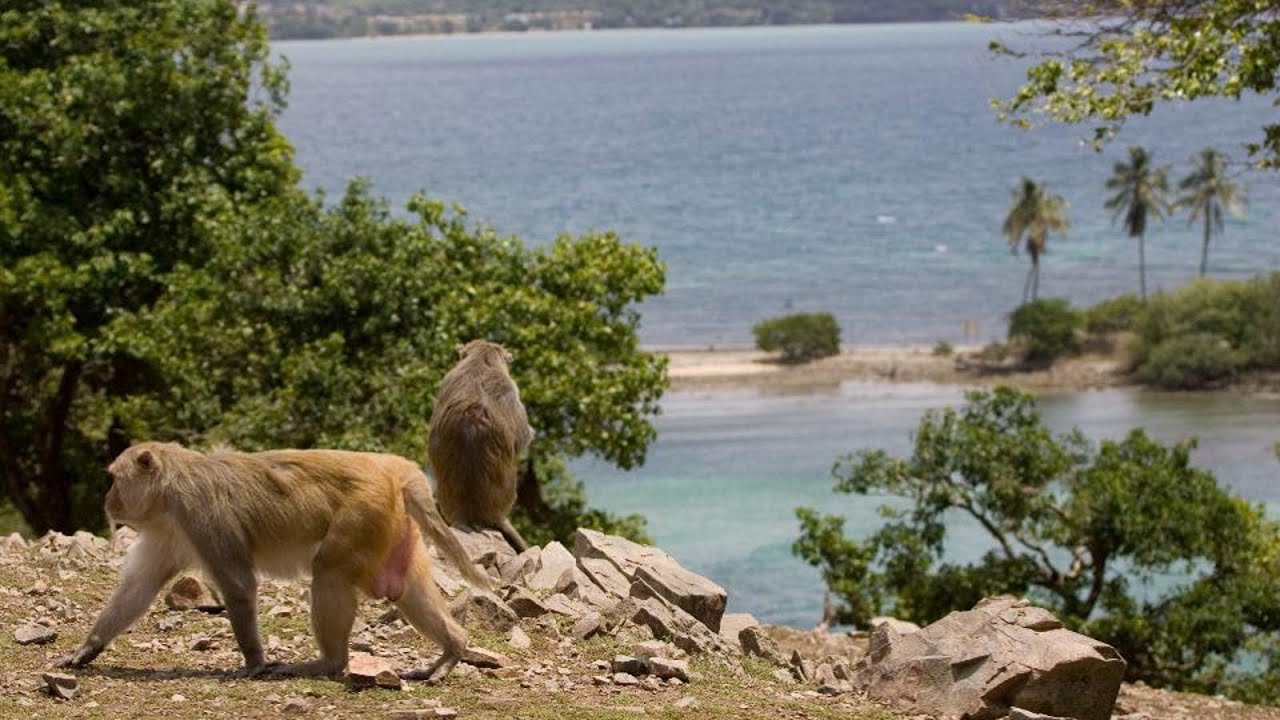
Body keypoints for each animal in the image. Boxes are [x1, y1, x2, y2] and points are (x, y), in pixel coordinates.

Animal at [58, 441, 491, 682]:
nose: (108, 500)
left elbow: (238, 585)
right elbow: (139, 587)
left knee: (329, 575)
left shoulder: (200, 515)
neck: (169, 489)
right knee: (406, 591)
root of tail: (393, 468)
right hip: (392, 527)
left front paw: (253, 661)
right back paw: (453, 649)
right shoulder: (168, 530)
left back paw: (328, 663)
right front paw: (89, 647)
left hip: (362, 515)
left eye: (114, 478)